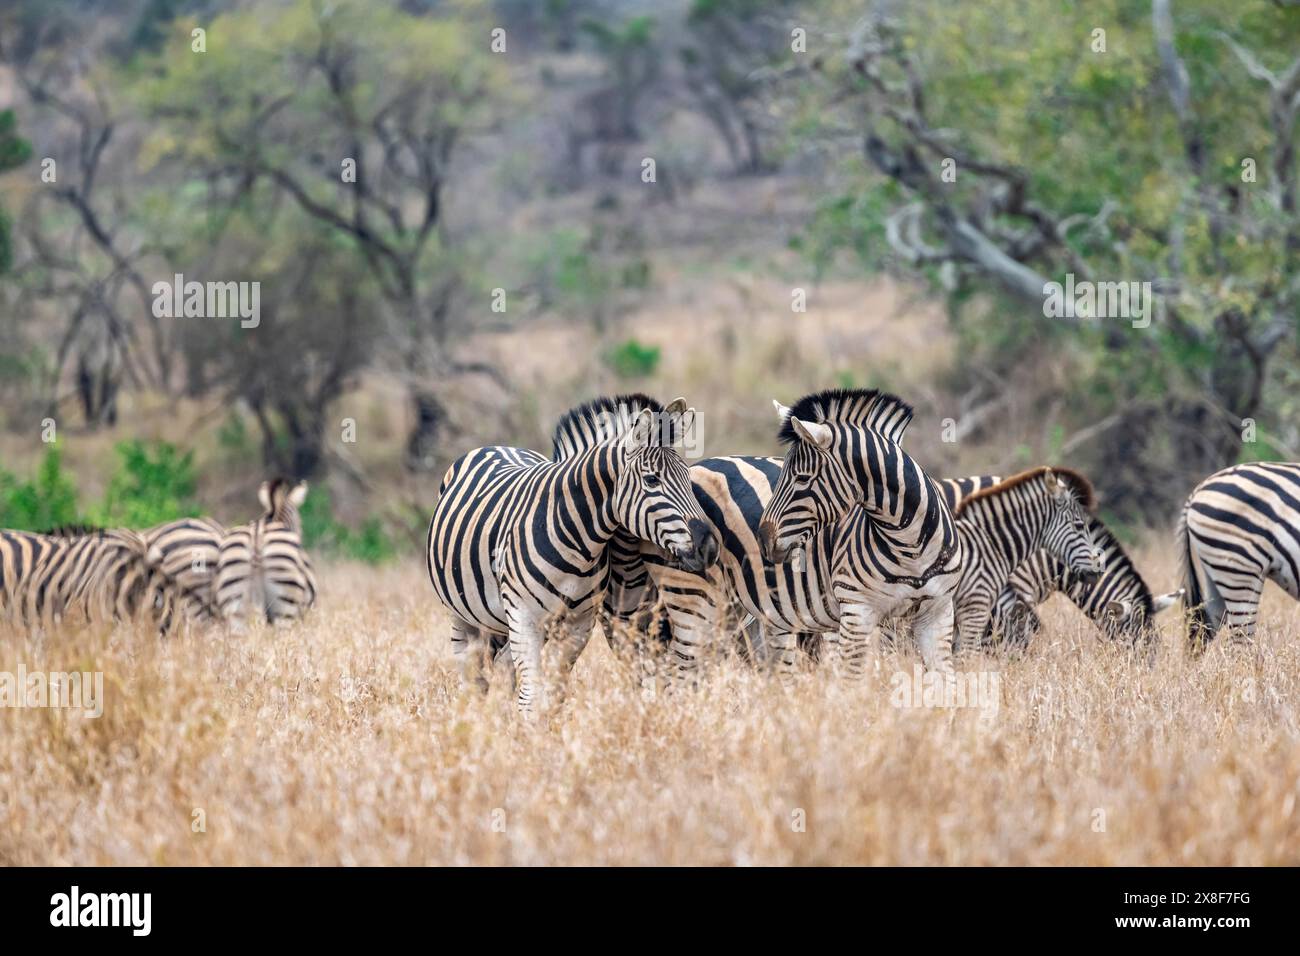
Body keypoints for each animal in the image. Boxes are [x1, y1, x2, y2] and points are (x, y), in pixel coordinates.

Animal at [426, 394, 718, 714]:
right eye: (652, 480)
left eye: (688, 479)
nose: (709, 546)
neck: (578, 543)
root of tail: (496, 446)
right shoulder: (523, 614)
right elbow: (532, 698)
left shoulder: (579, 623)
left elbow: (553, 694)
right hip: (462, 615)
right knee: (472, 674)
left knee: (502, 667)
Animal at [757, 388, 962, 674]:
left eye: (802, 478)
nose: (763, 539)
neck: (911, 545)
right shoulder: (857, 612)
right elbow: (851, 680)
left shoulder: (939, 614)